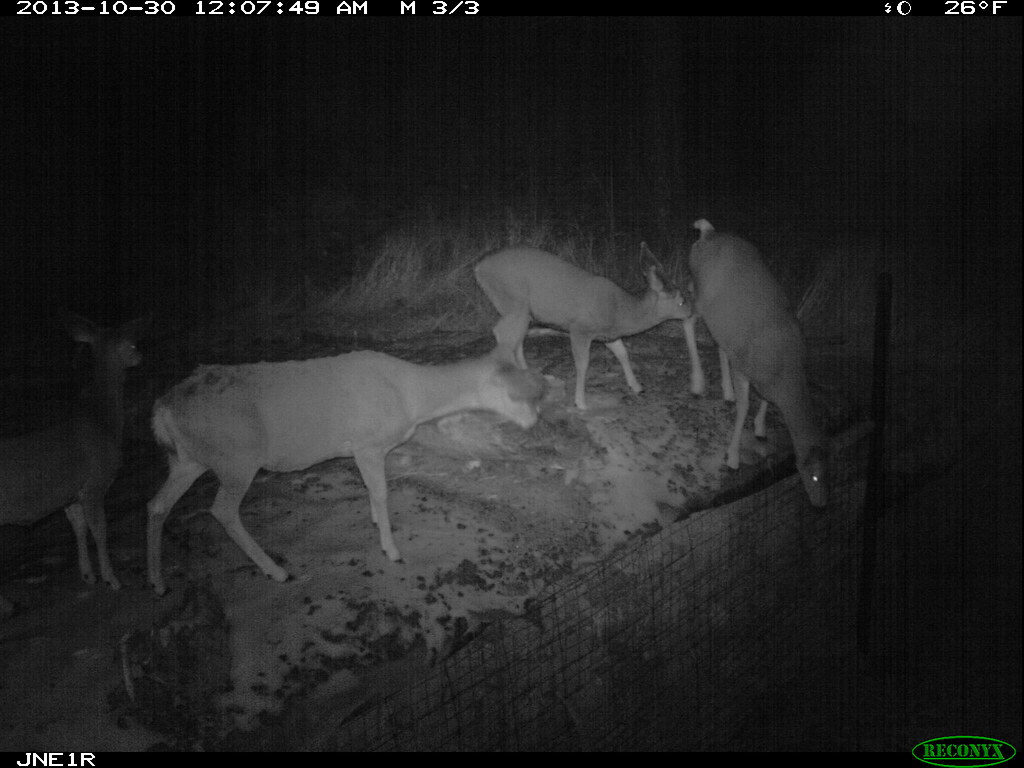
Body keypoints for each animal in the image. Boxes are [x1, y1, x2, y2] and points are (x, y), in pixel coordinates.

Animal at [1, 312, 150, 594]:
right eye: (132, 344)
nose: (141, 356)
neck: (102, 422)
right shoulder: (95, 483)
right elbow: (100, 531)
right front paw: (112, 579)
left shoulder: (70, 493)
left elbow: (79, 529)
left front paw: (88, 575)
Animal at [145, 346, 546, 596]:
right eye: (514, 395)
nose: (534, 423)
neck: (410, 395)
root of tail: (162, 411)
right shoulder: (368, 442)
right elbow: (381, 491)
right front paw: (392, 549)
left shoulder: (363, 448)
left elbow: (371, 491)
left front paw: (376, 524)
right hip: (236, 457)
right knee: (223, 510)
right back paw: (277, 571)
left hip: (188, 459)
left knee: (156, 504)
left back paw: (158, 583)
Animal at [474, 244, 691, 411]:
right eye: (681, 301)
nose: (692, 312)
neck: (621, 312)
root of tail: (479, 267)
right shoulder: (581, 328)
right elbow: (582, 363)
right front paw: (581, 402)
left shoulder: (608, 334)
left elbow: (622, 353)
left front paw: (637, 386)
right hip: (514, 300)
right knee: (501, 331)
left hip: (518, 309)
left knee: (515, 336)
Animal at [680, 219, 828, 507]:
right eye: (814, 476)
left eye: (831, 472)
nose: (822, 504)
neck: (786, 371)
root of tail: (707, 233)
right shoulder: (744, 369)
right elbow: (744, 406)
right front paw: (732, 458)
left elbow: (764, 400)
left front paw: (760, 429)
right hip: (703, 296)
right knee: (689, 320)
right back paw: (698, 383)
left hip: (724, 320)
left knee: (718, 340)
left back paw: (724, 390)